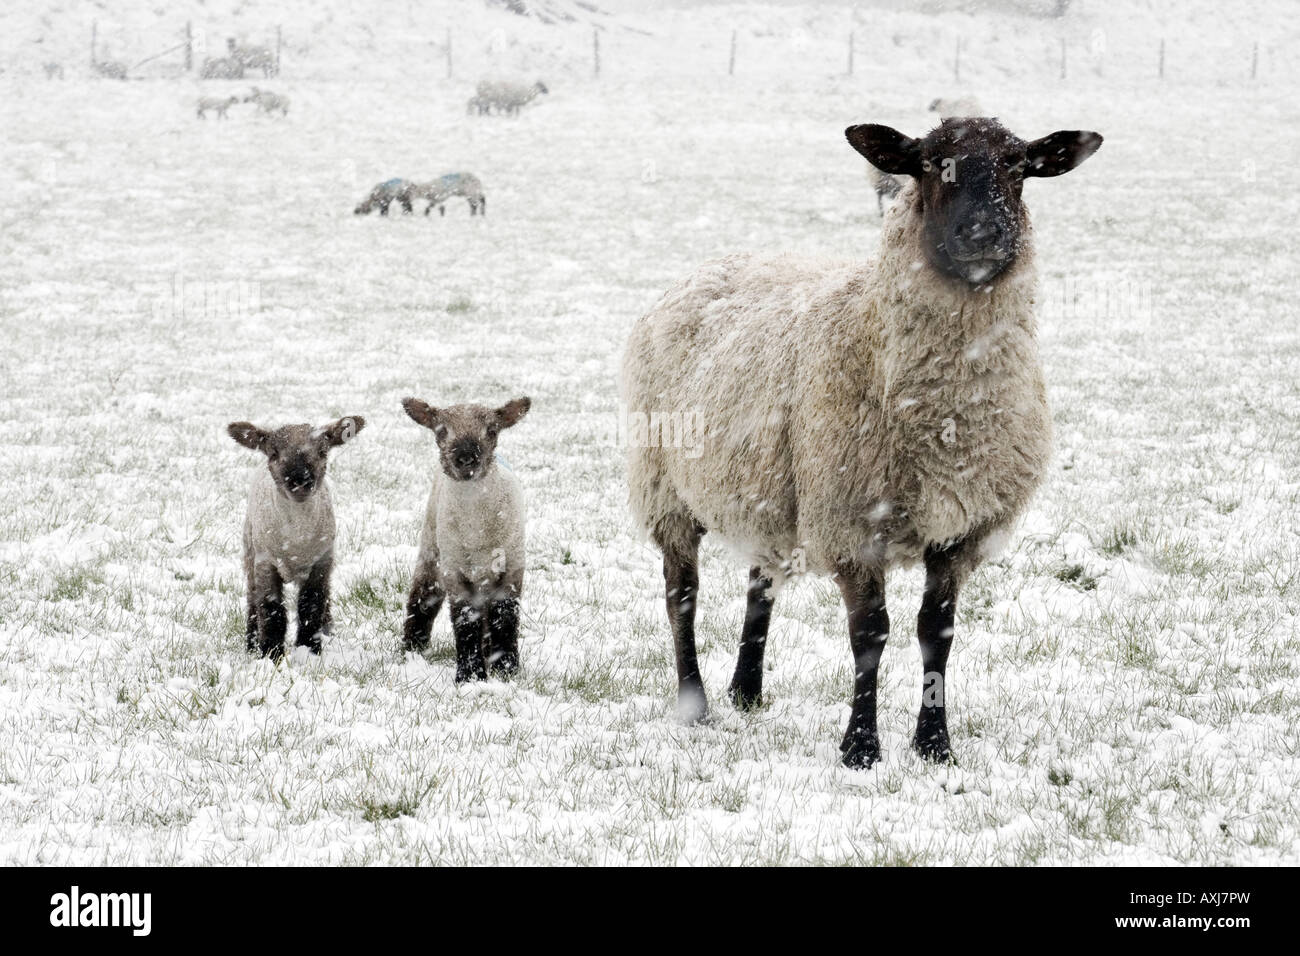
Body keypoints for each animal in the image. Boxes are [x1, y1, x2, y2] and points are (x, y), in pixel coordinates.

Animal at [227, 416, 365, 660]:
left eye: (323, 451)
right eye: (273, 453)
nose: (300, 481)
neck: (296, 540)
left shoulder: (321, 561)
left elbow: (311, 605)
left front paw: (309, 649)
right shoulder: (266, 562)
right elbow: (271, 610)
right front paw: (271, 654)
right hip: (250, 551)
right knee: (253, 600)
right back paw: (251, 644)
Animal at [400, 397, 531, 681]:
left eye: (492, 430)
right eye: (441, 431)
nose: (466, 459)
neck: (476, 528)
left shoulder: (512, 567)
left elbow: (505, 617)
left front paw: (507, 671)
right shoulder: (455, 570)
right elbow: (465, 621)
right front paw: (470, 676)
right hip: (432, 547)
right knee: (422, 600)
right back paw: (410, 652)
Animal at [620, 117, 1102, 768]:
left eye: (1019, 167)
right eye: (927, 164)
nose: (983, 232)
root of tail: (712, 264)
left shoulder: (960, 530)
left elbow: (936, 632)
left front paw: (934, 745)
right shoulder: (852, 524)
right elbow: (870, 634)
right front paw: (860, 749)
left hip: (772, 488)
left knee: (759, 585)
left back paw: (747, 690)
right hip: (664, 487)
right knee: (682, 595)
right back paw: (695, 703)